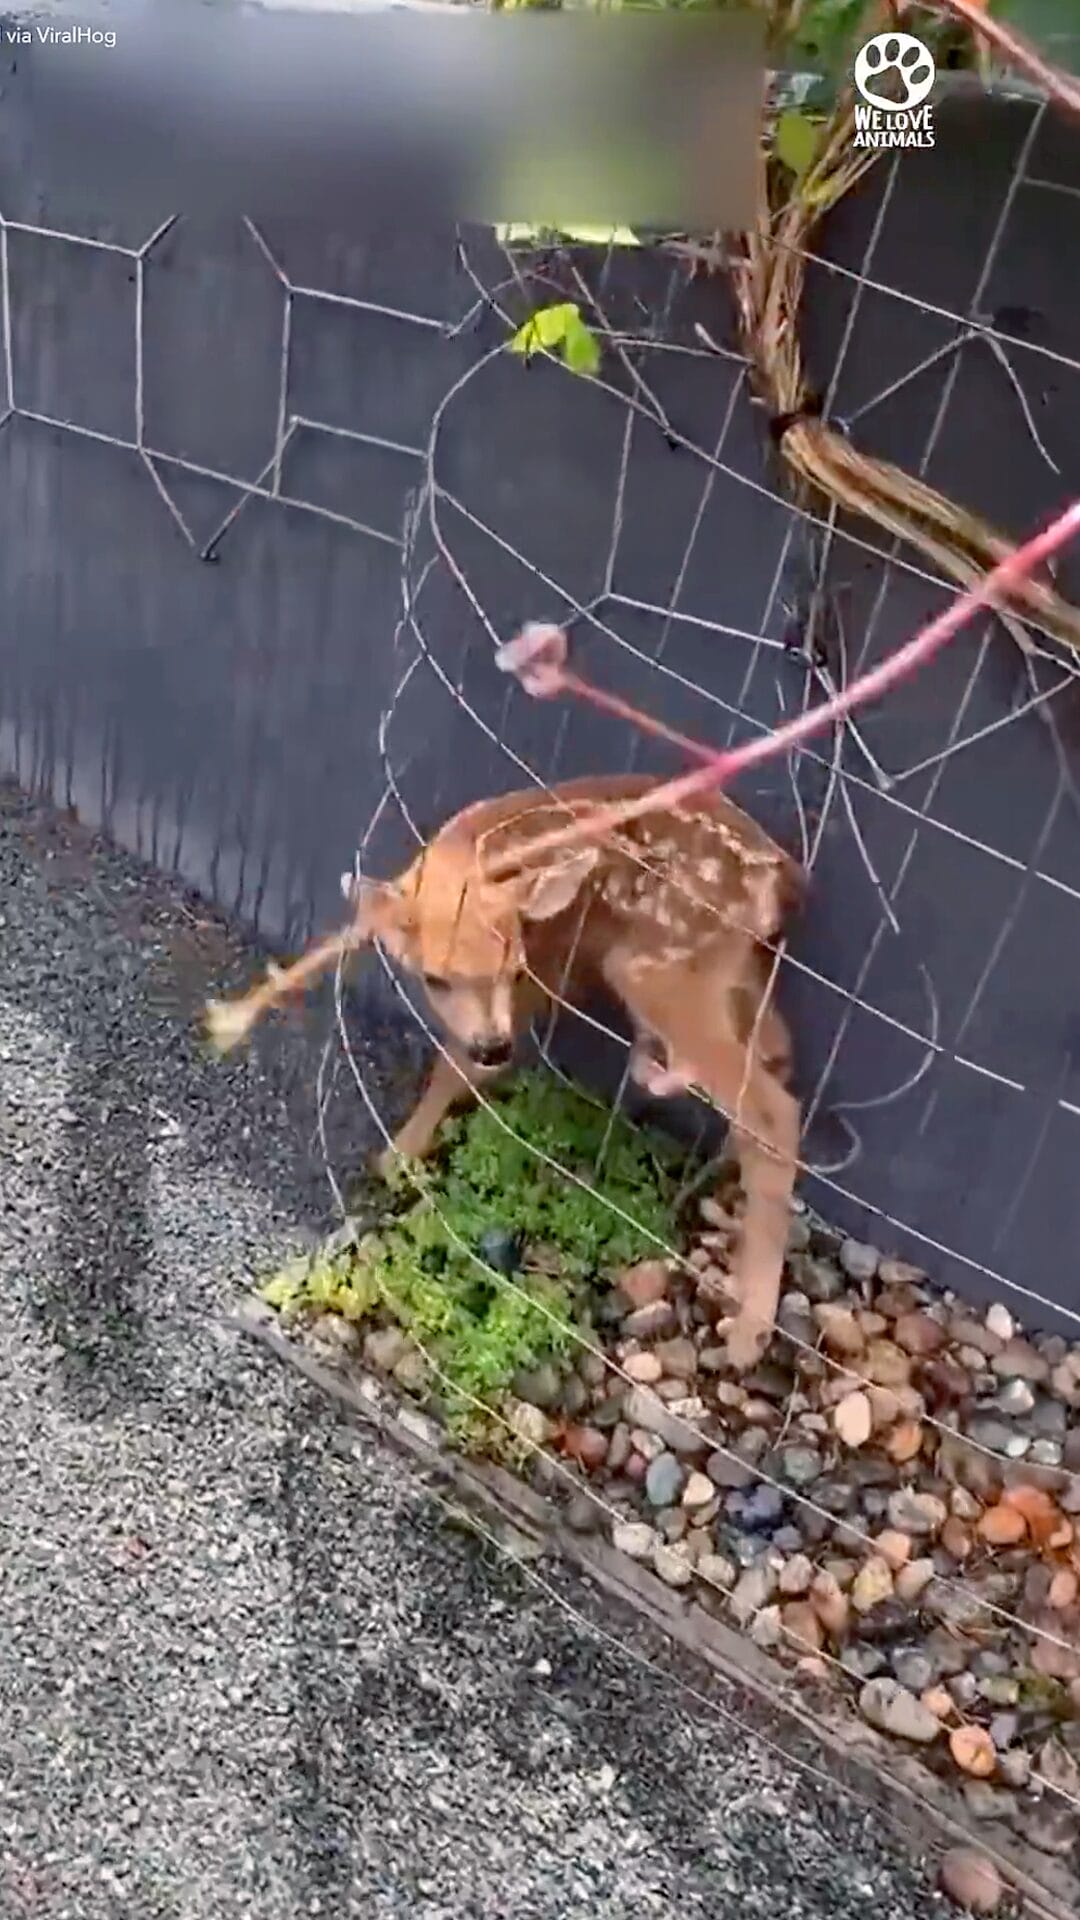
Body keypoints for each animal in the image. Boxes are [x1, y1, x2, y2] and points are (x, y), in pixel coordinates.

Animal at [205, 770, 804, 1371]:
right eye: (435, 978)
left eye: (512, 968)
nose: (493, 1047)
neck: (461, 857)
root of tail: (780, 882)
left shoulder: (543, 967)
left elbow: (455, 1065)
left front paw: (399, 1154)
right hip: (735, 972)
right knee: (775, 1055)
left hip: (662, 970)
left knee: (773, 1110)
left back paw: (750, 1332)